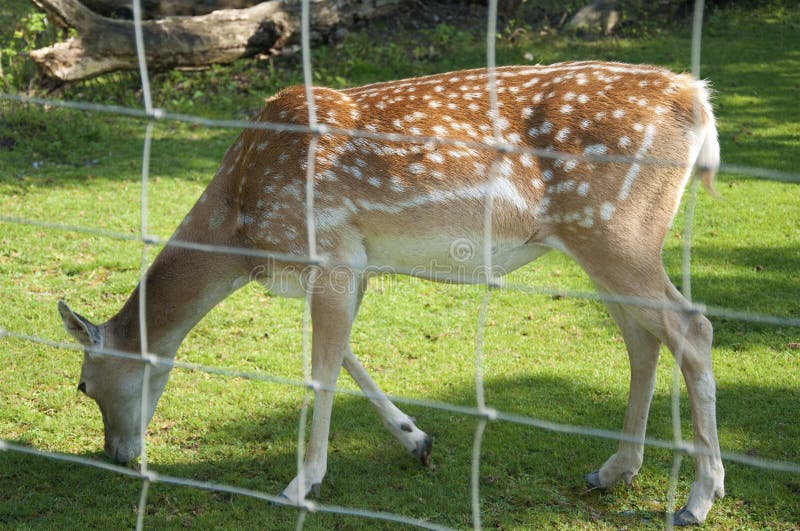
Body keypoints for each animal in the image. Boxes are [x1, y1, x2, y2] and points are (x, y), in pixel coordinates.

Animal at [58, 61, 724, 525]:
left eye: (84, 385)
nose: (115, 455)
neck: (243, 231)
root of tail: (698, 99)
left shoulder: (328, 248)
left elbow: (321, 371)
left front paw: (301, 485)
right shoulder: (350, 264)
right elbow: (345, 355)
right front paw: (417, 439)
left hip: (617, 231)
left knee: (692, 326)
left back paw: (698, 498)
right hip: (595, 242)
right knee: (642, 336)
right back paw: (614, 470)